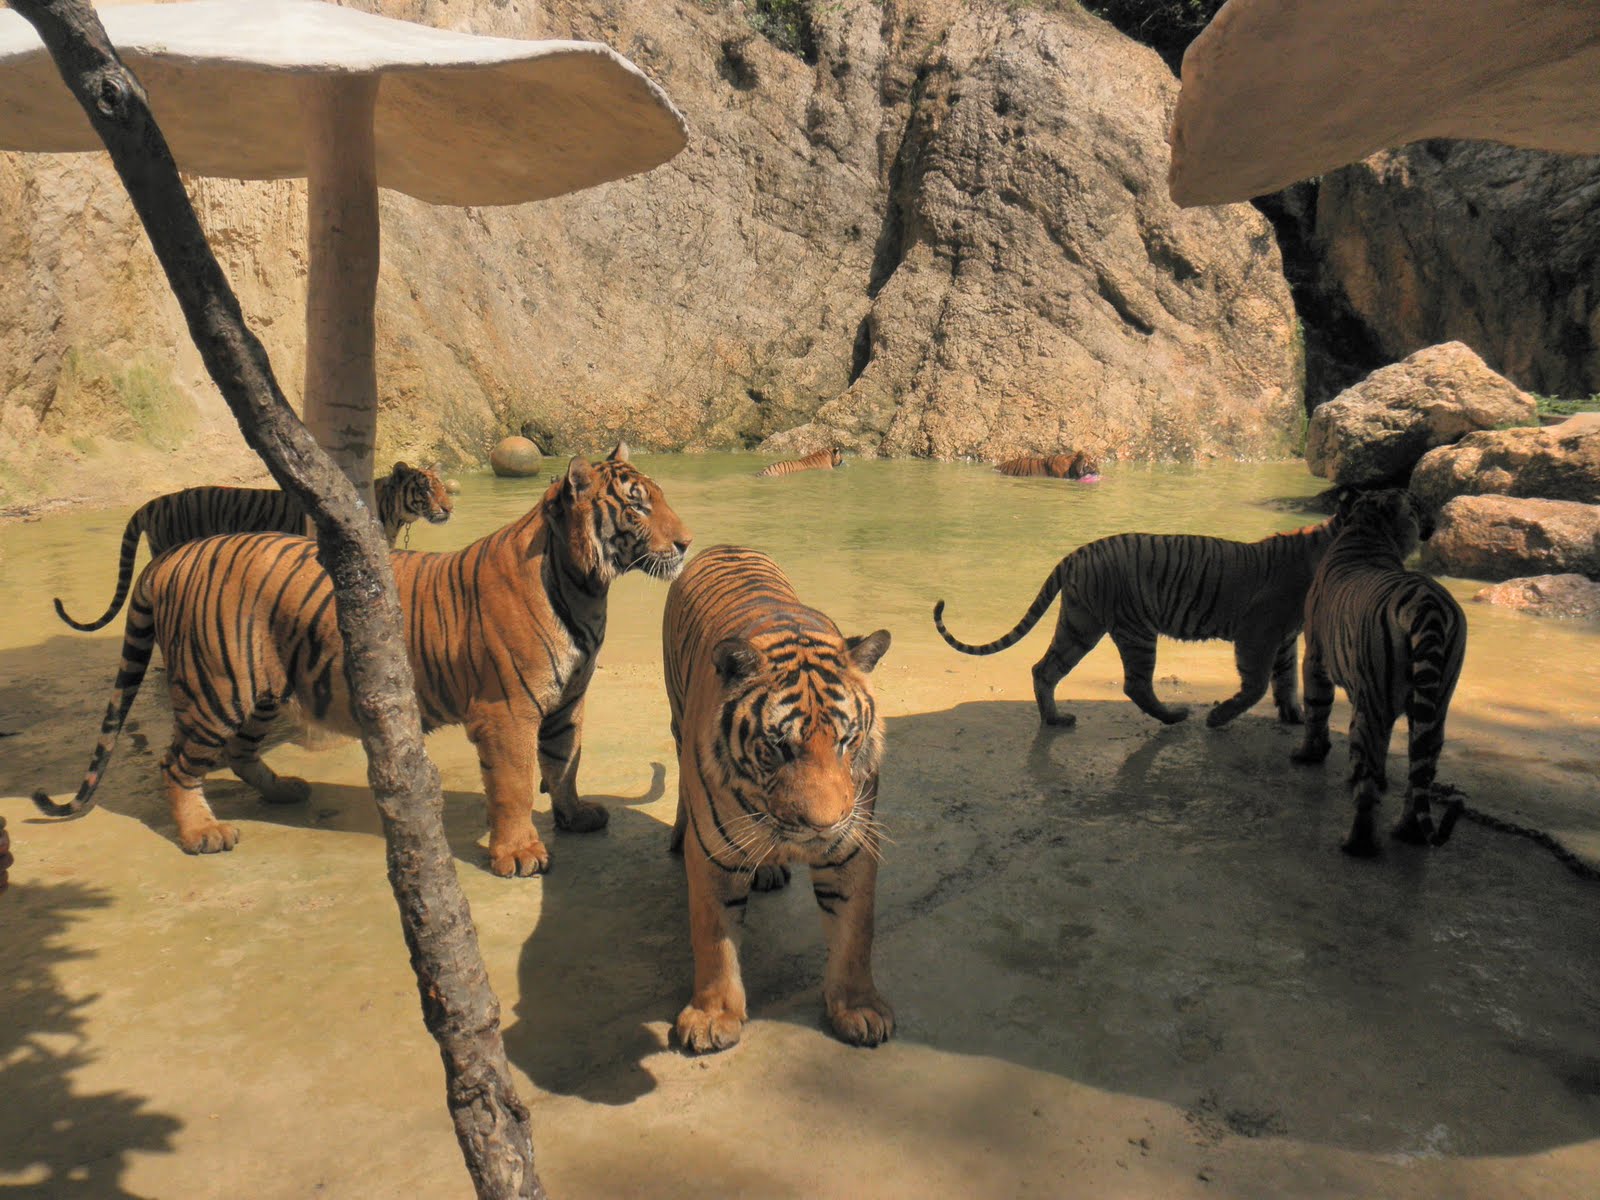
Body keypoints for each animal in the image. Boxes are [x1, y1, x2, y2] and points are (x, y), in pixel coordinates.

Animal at [663, 544, 893, 1053]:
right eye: (778, 746)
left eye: (847, 741)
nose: (823, 826)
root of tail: (725, 544)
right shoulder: (712, 855)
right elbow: (713, 938)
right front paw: (712, 1017)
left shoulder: (852, 848)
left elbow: (857, 933)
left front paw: (859, 1009)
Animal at [933, 508, 1350, 729]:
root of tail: (1076, 553)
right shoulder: (1257, 634)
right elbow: (1258, 684)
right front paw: (1219, 717)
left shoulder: (1284, 636)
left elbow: (1286, 679)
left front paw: (1293, 714)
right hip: (1134, 630)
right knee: (1134, 684)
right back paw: (1173, 716)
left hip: (1079, 624)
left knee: (1045, 669)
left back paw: (1055, 719)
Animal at [1290, 488, 1467, 857]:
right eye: (1418, 504)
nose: (1433, 522)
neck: (1367, 528)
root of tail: (1427, 603)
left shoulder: (1315, 657)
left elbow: (1316, 709)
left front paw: (1308, 754)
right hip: (1436, 705)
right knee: (1422, 769)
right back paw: (1407, 832)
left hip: (1376, 702)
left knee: (1368, 783)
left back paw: (1356, 843)